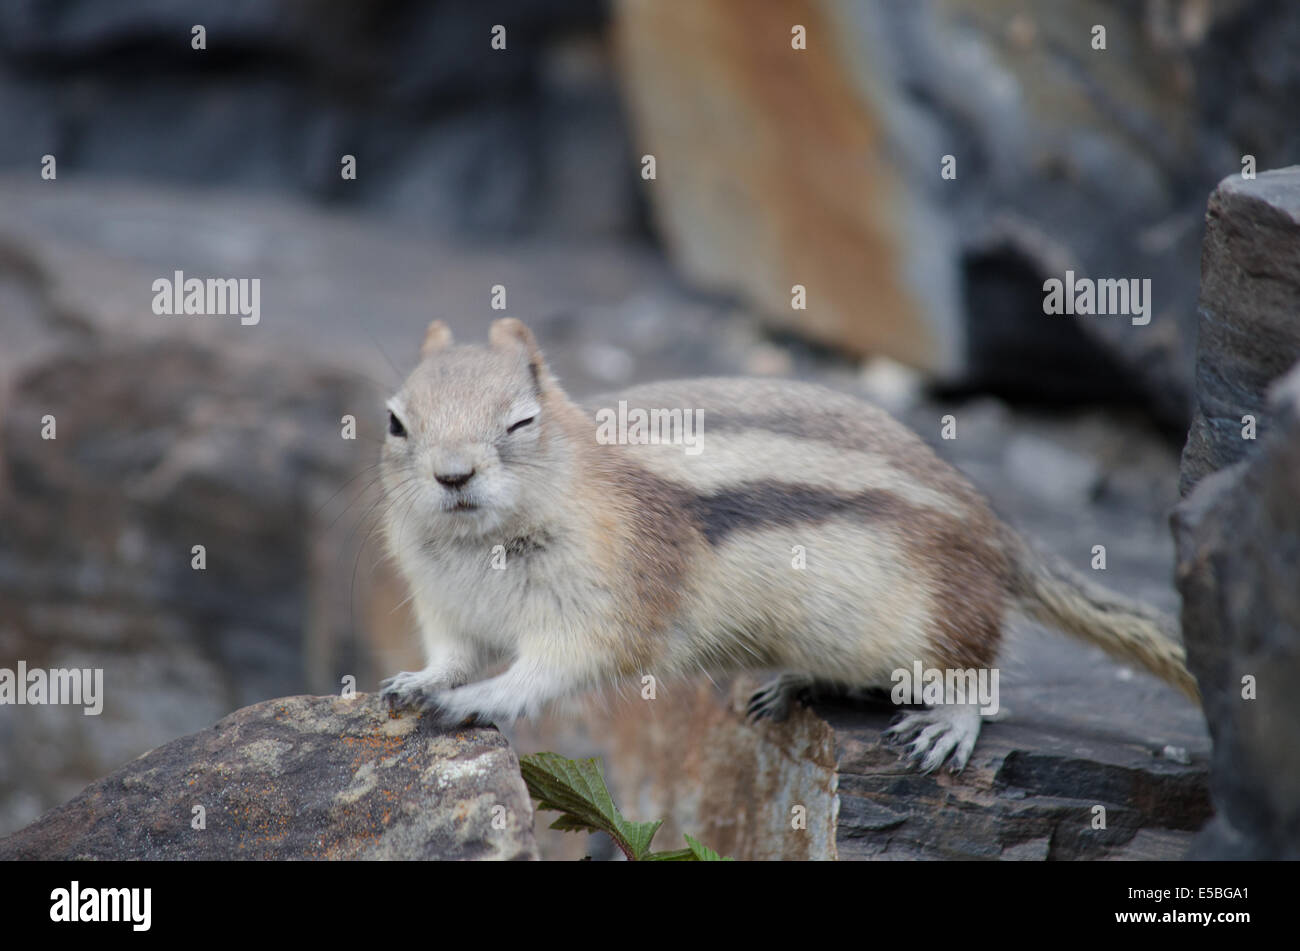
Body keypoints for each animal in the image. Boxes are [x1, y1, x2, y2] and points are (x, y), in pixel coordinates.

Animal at [378, 318, 1199, 773]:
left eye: (521, 422)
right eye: (394, 422)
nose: (453, 474)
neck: (480, 545)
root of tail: (994, 528)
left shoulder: (613, 596)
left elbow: (559, 666)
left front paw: (481, 696)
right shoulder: (444, 605)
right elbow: (452, 653)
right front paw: (417, 681)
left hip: (933, 616)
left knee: (979, 672)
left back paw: (949, 721)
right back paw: (795, 683)